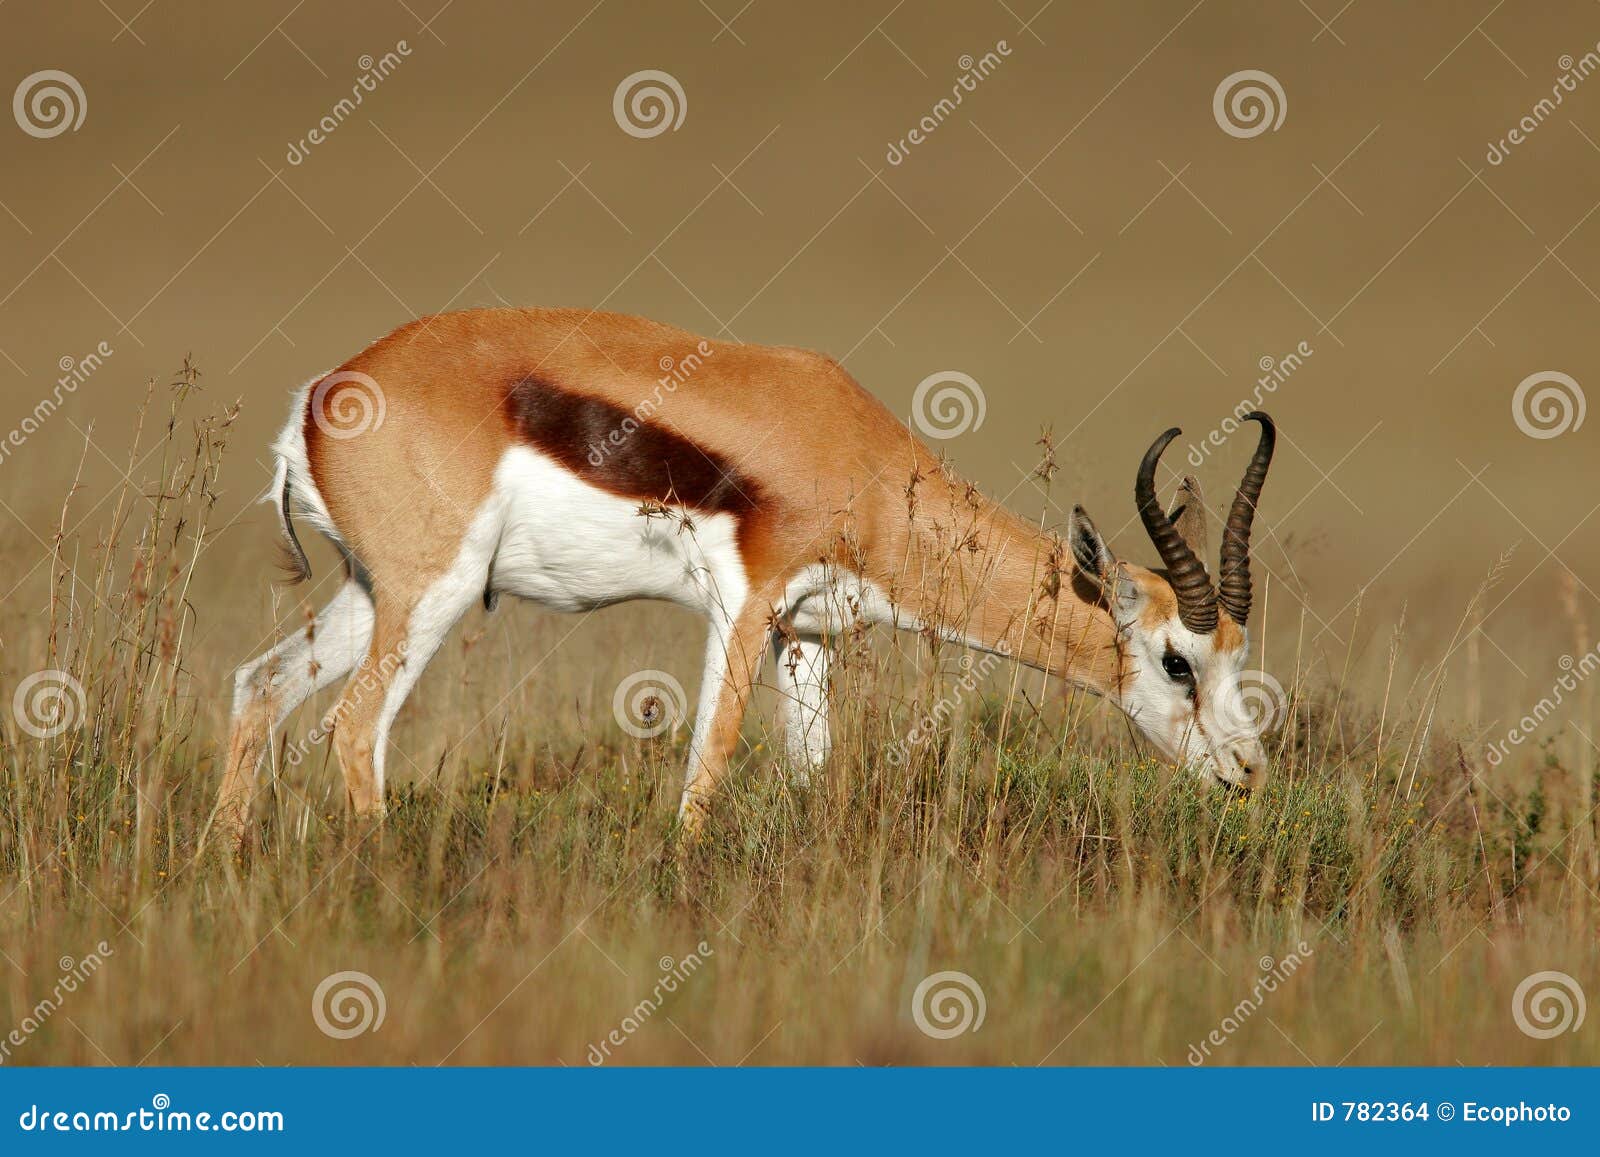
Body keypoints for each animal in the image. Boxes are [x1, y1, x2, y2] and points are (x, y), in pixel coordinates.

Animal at [214, 307, 1277, 846]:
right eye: (1177, 661)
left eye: (1238, 654)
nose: (1248, 772)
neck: (857, 455)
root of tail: (321, 397)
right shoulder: (747, 600)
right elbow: (711, 753)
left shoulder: (804, 634)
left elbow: (812, 772)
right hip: (431, 592)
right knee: (356, 724)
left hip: (373, 591)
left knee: (260, 683)